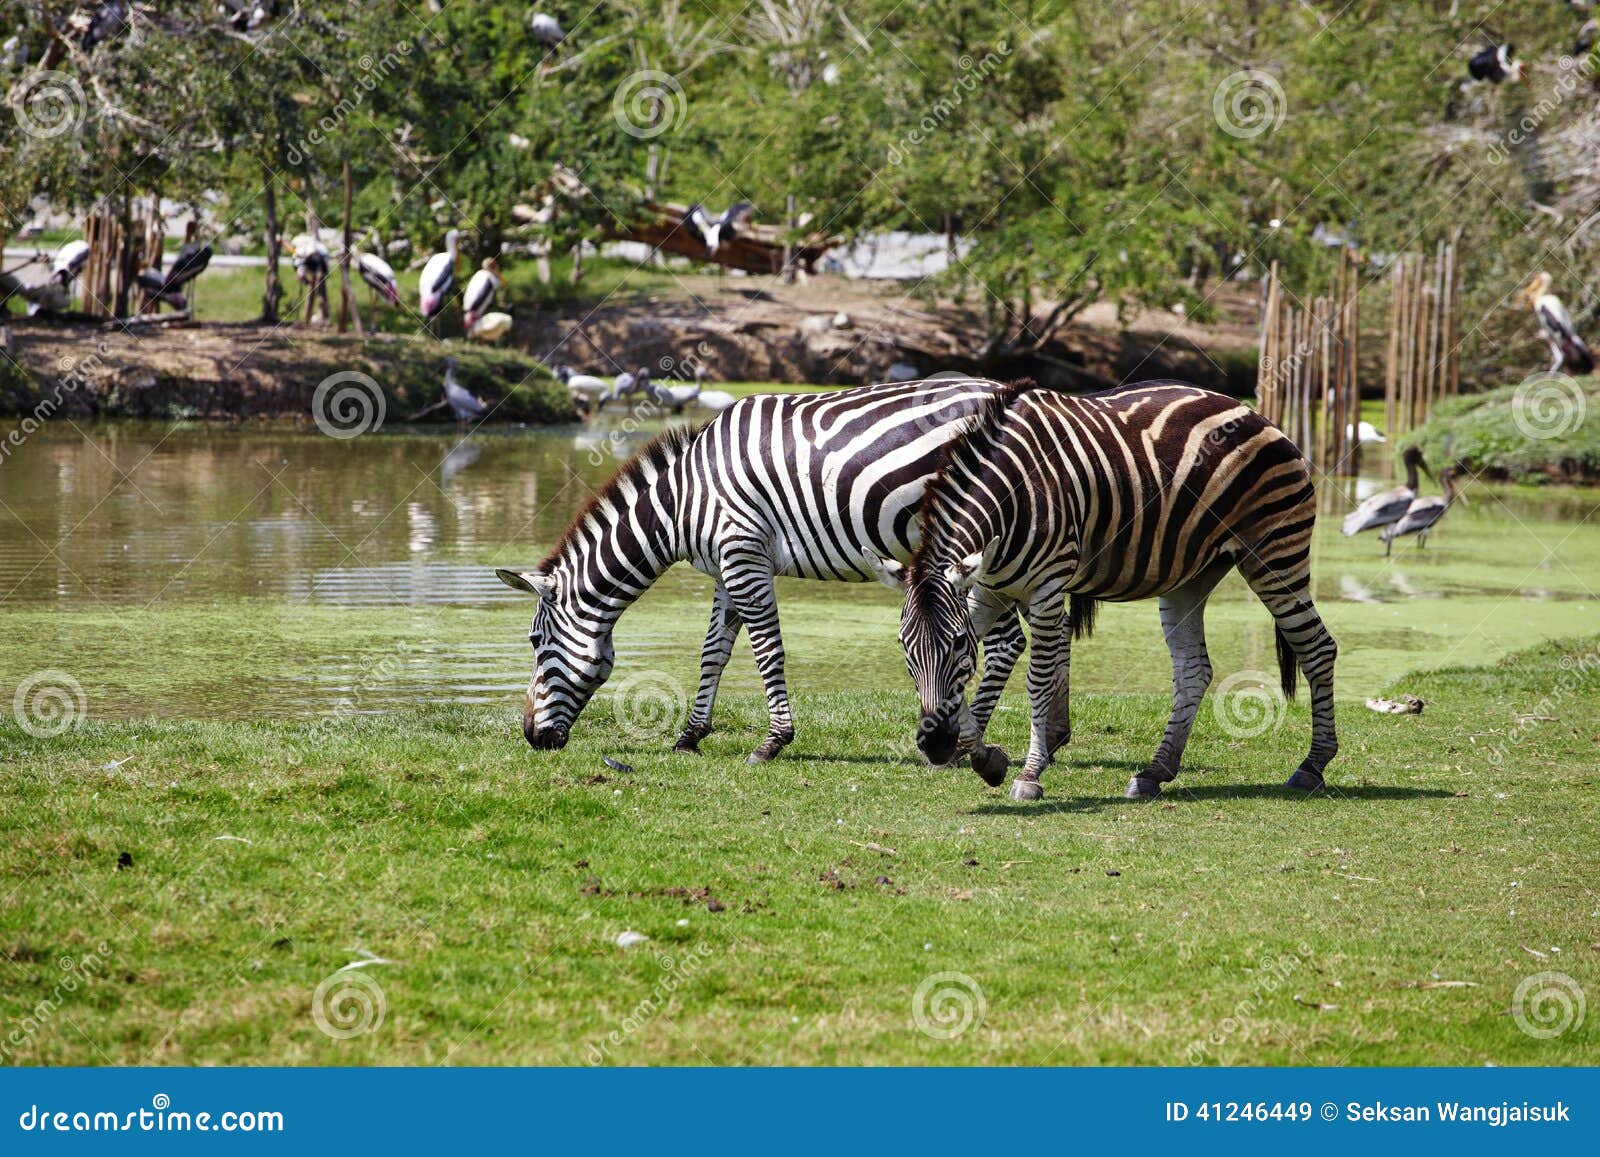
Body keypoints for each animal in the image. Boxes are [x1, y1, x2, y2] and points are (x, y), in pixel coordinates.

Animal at [494, 380, 1029, 776]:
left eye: (535, 641)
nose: (531, 738)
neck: (682, 502)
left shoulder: (744, 555)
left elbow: (767, 650)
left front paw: (773, 742)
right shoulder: (725, 566)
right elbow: (714, 650)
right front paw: (690, 736)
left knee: (1003, 641)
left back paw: (967, 743)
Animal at [889, 379, 1337, 802]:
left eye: (956, 644)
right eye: (904, 647)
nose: (935, 743)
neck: (1011, 496)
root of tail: (1255, 414)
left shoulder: (1046, 587)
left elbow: (1038, 680)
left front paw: (1029, 775)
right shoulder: (985, 590)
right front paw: (987, 758)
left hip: (1275, 551)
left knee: (1317, 648)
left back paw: (1312, 766)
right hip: (1191, 574)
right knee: (1194, 670)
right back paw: (1154, 772)